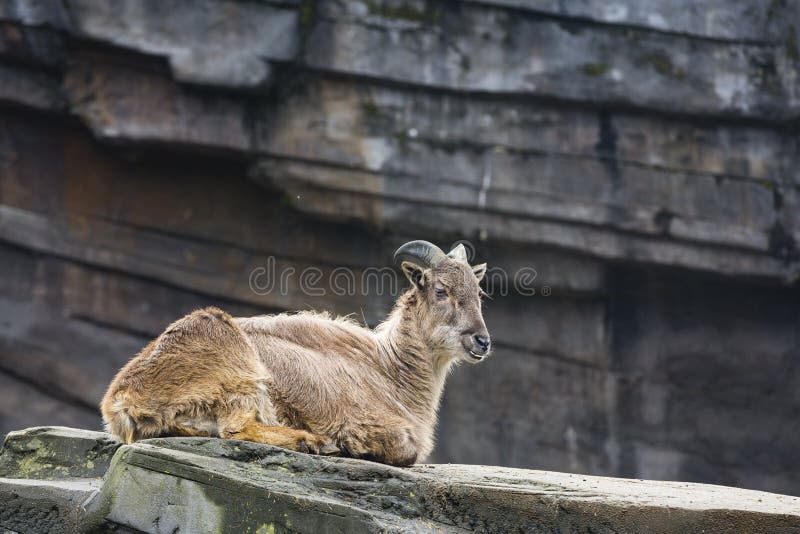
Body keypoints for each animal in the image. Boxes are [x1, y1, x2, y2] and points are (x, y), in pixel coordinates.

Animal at [100, 240, 491, 466]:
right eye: (441, 290)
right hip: (238, 368)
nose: (482, 341)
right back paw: (314, 442)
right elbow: (405, 453)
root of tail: (120, 399)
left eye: (478, 292)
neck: (391, 370)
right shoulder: (373, 424)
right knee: (235, 430)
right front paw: (350, 446)